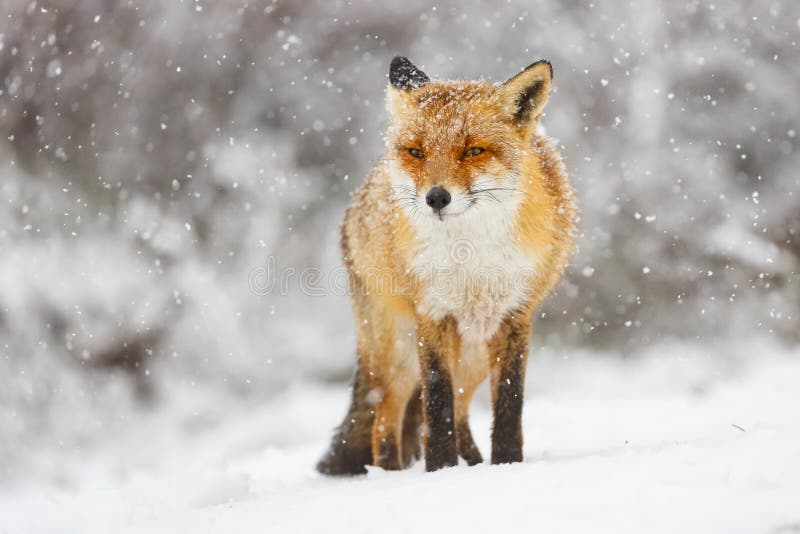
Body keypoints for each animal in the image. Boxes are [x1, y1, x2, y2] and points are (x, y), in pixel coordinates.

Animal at [317, 56, 577, 474]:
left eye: (473, 151)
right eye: (416, 151)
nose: (436, 198)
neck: (471, 263)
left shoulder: (514, 316)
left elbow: (508, 404)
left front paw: (507, 465)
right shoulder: (432, 315)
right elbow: (437, 406)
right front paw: (440, 471)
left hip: (471, 358)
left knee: (461, 413)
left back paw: (473, 463)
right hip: (399, 357)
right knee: (385, 424)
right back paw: (391, 476)